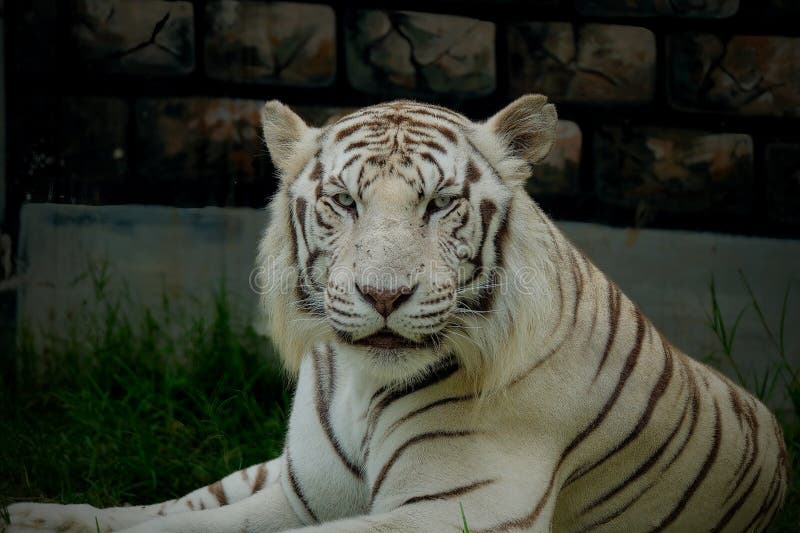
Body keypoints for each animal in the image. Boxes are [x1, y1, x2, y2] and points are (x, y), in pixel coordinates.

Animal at [7, 95, 788, 533]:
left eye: (439, 204)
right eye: (343, 202)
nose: (384, 295)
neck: (363, 385)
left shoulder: (458, 509)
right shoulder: (307, 495)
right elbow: (178, 525)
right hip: (277, 471)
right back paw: (39, 513)